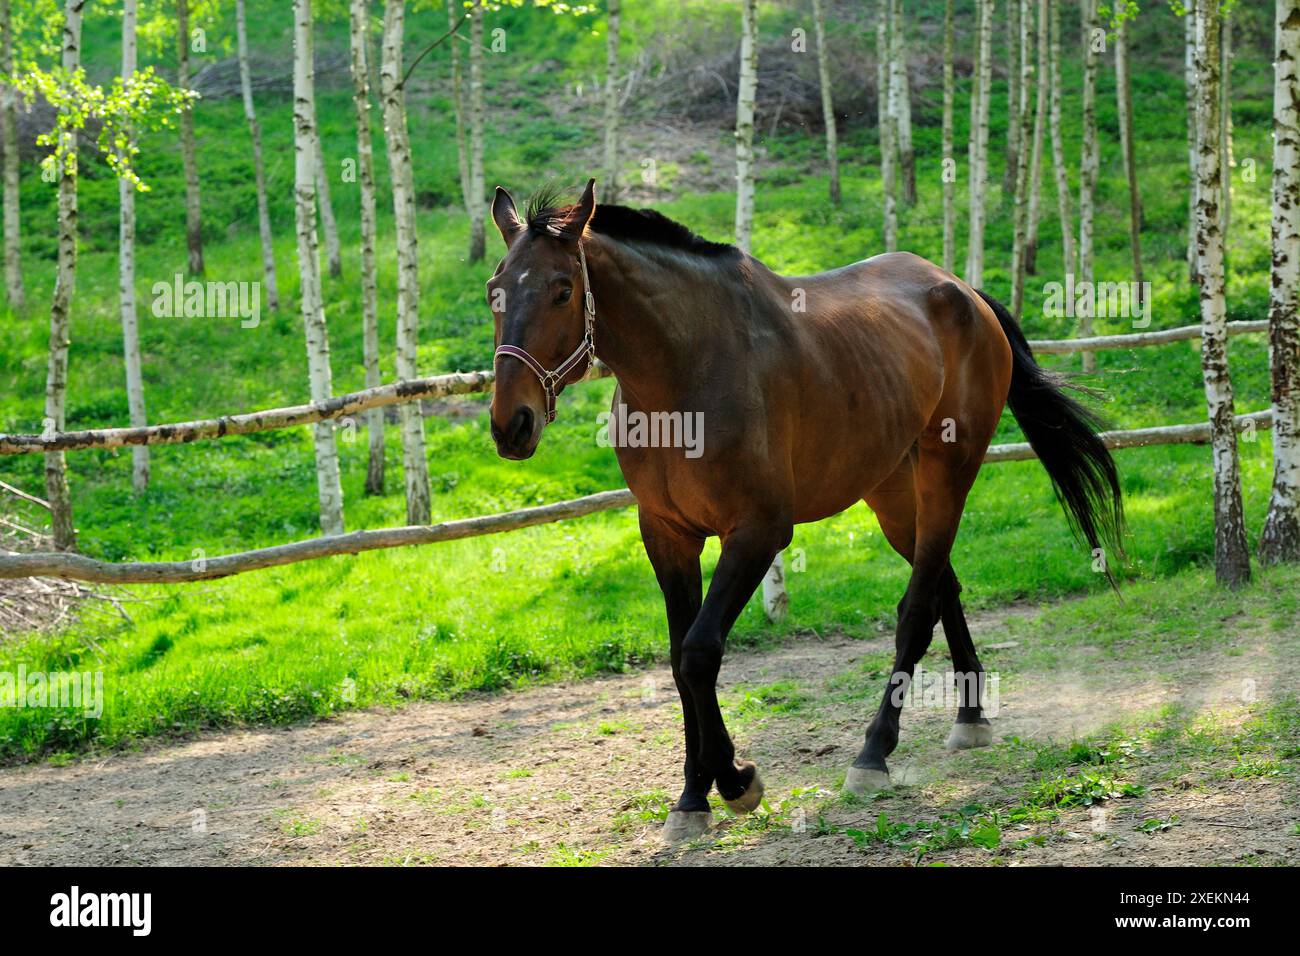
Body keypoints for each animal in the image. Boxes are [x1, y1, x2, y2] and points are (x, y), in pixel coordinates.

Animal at [486, 179, 1124, 842]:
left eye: (563, 289)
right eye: (494, 290)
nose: (512, 424)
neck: (687, 372)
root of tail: (963, 292)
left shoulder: (757, 533)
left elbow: (699, 653)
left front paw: (736, 781)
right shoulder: (666, 534)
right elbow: (679, 660)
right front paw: (693, 797)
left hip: (948, 475)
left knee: (917, 608)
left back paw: (874, 754)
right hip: (894, 494)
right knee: (943, 585)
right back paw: (971, 717)